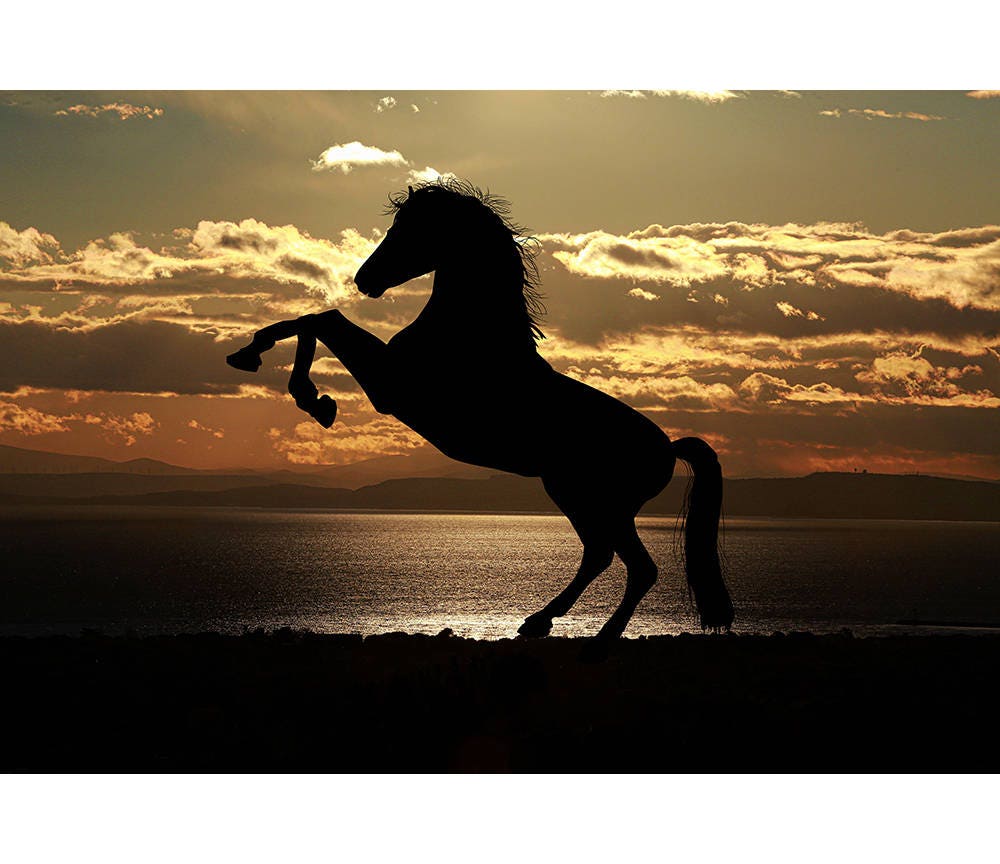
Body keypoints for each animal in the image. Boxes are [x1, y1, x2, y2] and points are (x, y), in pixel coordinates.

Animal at [226, 179, 734, 643]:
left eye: (409, 228)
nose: (364, 280)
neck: (470, 335)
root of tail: (667, 448)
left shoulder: (390, 386)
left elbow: (322, 320)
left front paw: (308, 395)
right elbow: (313, 320)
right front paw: (257, 360)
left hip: (592, 499)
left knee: (633, 565)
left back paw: (598, 635)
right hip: (584, 499)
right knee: (601, 555)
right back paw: (539, 622)